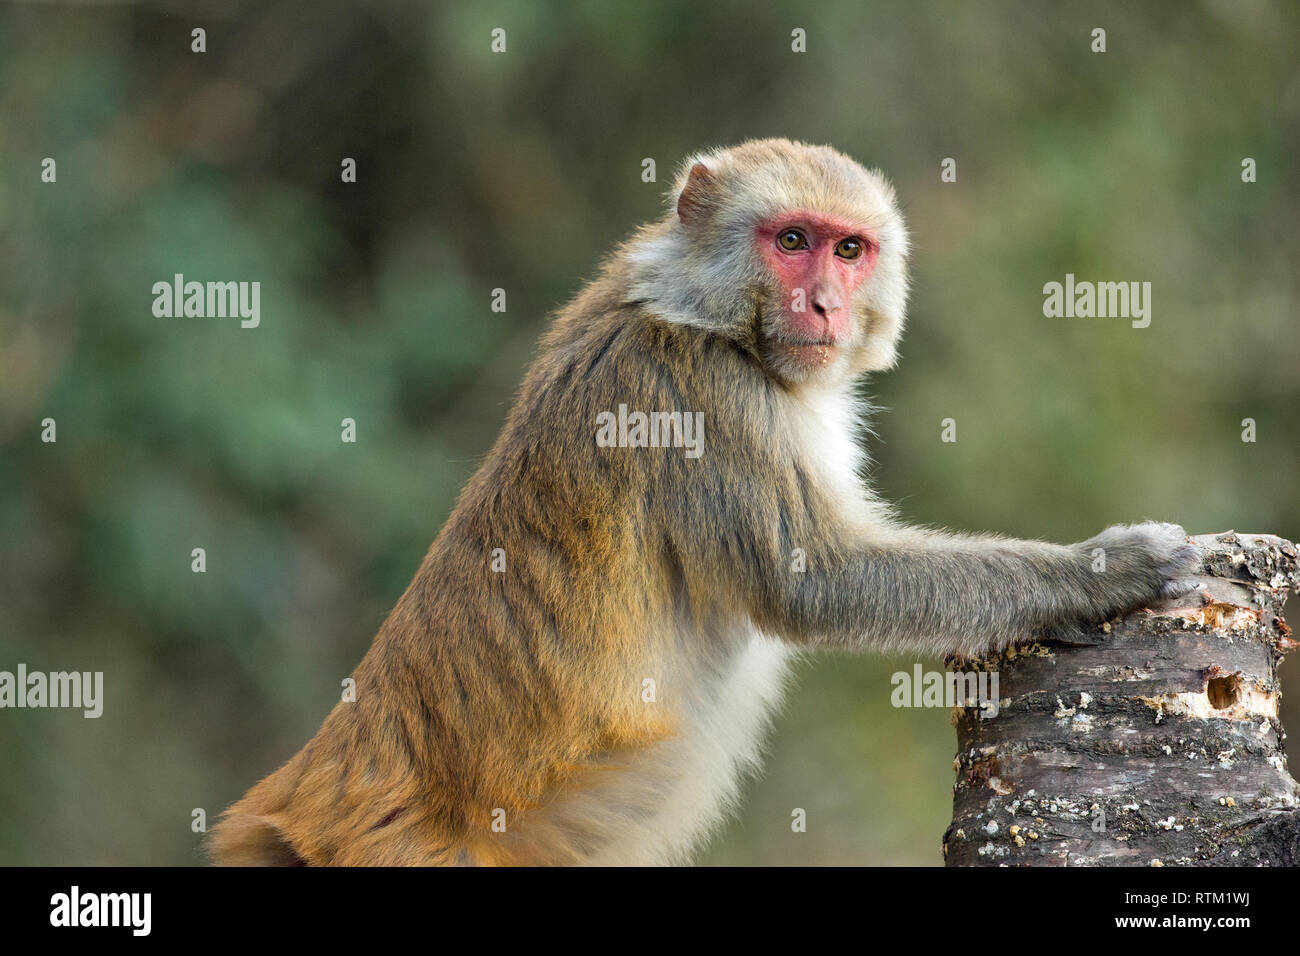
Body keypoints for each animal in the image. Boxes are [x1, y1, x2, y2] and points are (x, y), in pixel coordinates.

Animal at [209, 138, 1200, 866]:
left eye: (850, 249)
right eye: (791, 242)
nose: (824, 304)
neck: (711, 319)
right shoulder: (702, 401)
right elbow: (814, 582)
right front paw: (1103, 568)